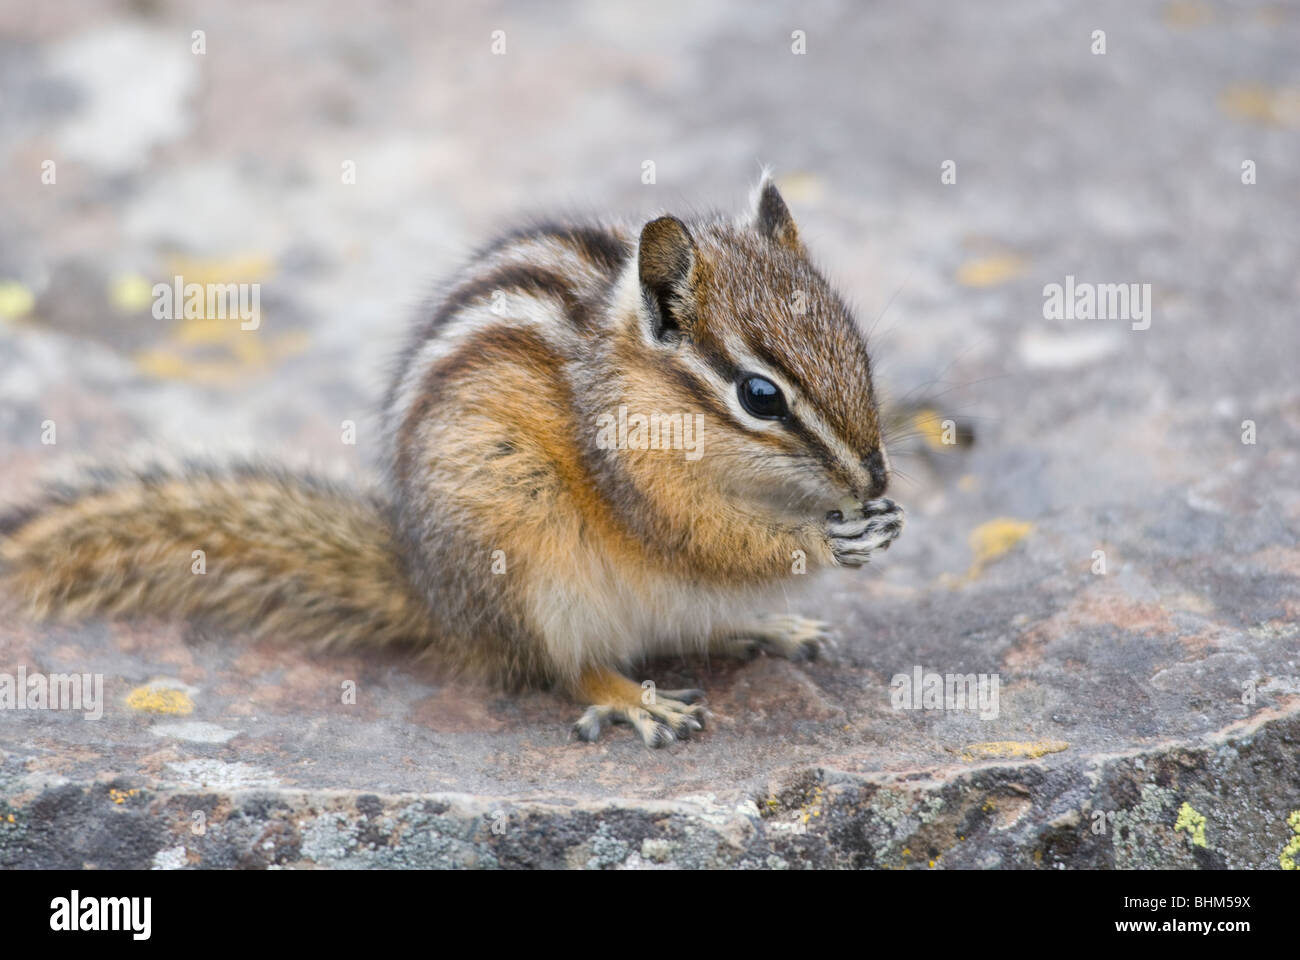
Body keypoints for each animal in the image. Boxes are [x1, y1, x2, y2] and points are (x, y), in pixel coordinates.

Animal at [0, 172, 906, 748]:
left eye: (858, 347)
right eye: (760, 396)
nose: (874, 477)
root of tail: (432, 592)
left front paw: (879, 520)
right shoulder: (638, 481)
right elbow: (706, 539)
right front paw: (828, 538)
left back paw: (771, 624)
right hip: (526, 558)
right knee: (562, 666)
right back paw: (631, 700)